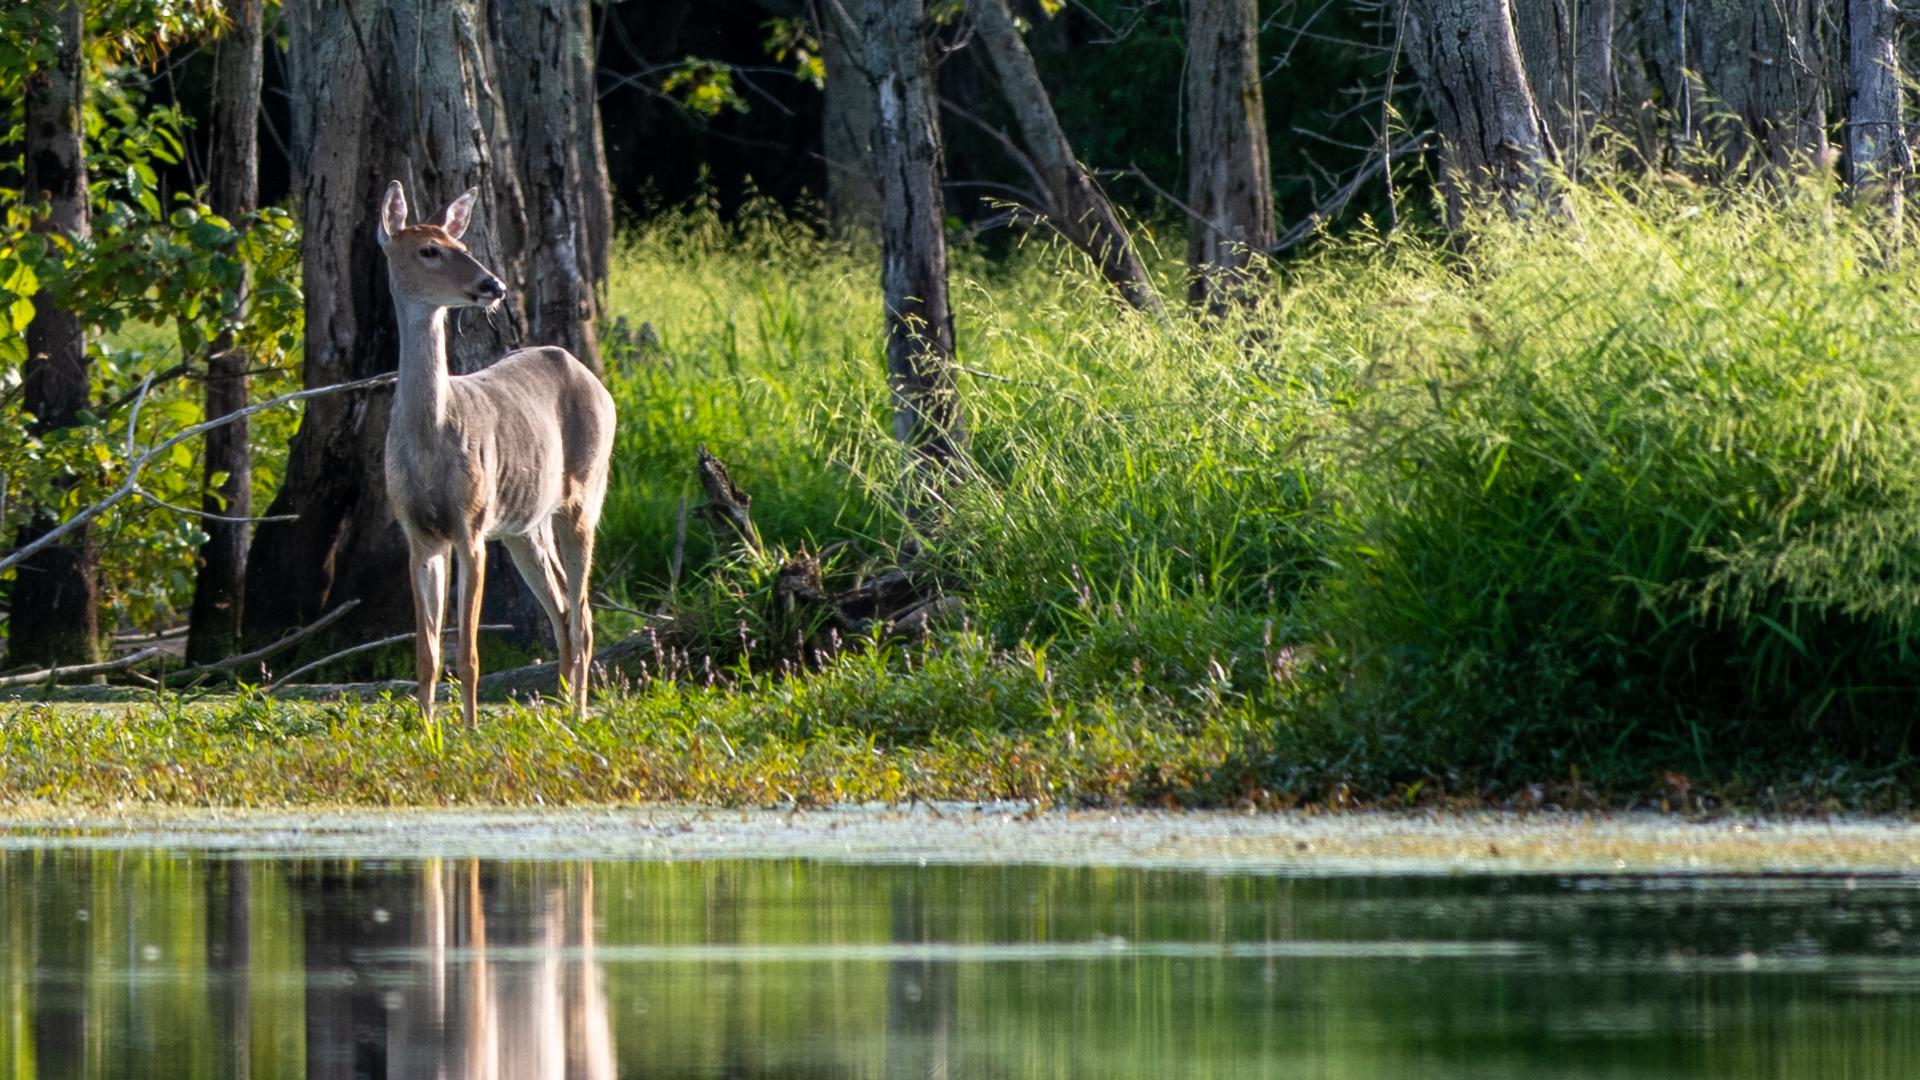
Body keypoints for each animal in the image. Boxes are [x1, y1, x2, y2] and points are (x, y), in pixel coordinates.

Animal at [375, 180, 615, 728]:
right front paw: (425, 731)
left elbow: (468, 651)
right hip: (526, 527)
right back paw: (559, 709)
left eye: (462, 244)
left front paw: (468, 729)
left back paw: (578, 713)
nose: (495, 285)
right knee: (563, 609)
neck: (429, 439)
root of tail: (591, 376)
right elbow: (427, 652)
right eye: (430, 249)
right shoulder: (419, 533)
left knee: (584, 614)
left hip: (584, 499)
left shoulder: (472, 525)